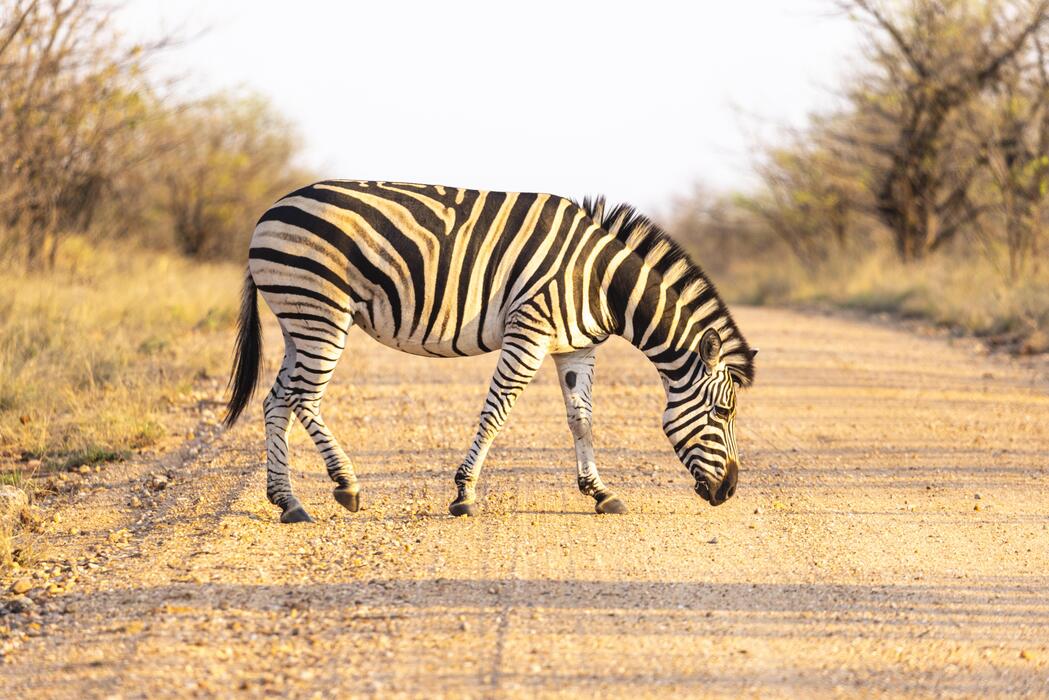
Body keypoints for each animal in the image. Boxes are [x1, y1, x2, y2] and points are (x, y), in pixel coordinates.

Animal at [223, 180, 756, 523]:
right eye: (724, 412)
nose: (730, 491)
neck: (602, 283)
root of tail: (269, 211)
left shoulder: (576, 349)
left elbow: (581, 420)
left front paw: (601, 493)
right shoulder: (530, 329)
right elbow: (497, 411)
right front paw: (464, 493)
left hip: (298, 319)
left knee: (276, 400)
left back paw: (288, 502)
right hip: (321, 313)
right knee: (303, 398)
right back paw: (345, 484)